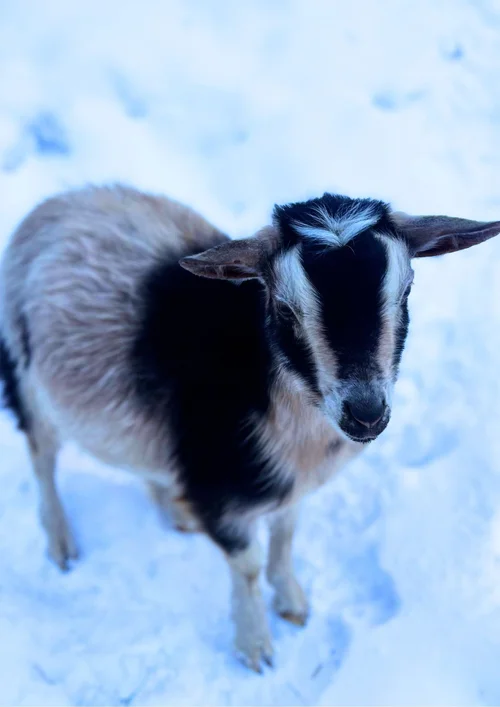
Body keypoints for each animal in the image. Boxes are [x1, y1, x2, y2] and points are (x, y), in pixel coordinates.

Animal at [0, 185, 498, 671]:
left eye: (406, 292)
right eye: (284, 309)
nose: (366, 413)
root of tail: (58, 200)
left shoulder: (289, 483)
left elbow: (286, 535)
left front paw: (292, 601)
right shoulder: (217, 485)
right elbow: (248, 566)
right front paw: (255, 645)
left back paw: (171, 507)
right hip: (24, 376)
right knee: (42, 459)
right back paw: (61, 542)